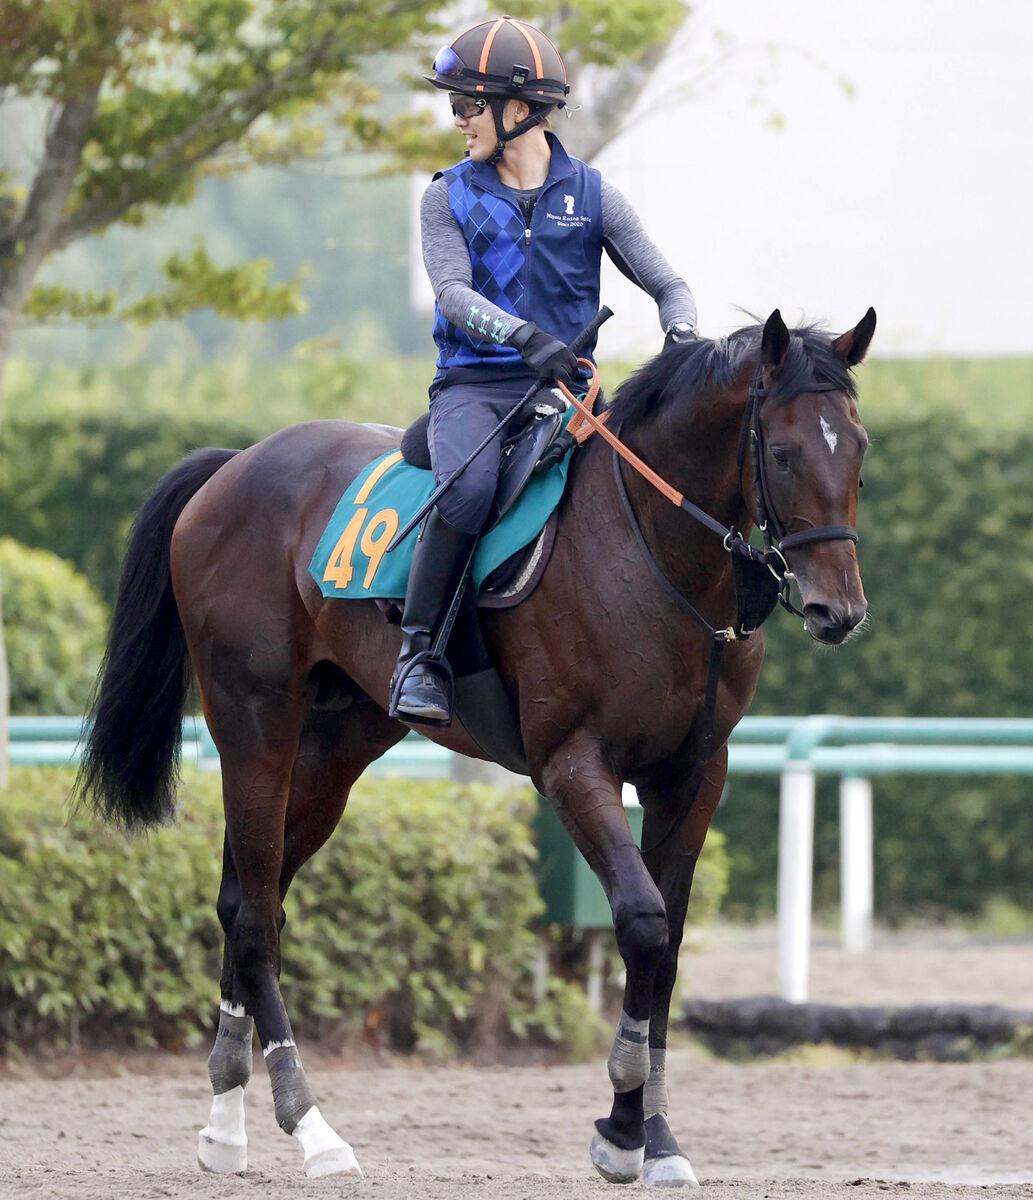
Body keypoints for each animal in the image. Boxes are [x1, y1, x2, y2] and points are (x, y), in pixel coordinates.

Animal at [77, 306, 874, 1185]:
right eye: (783, 451)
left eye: (859, 448)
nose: (837, 611)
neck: (652, 554)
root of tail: (234, 467)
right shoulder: (572, 765)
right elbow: (640, 922)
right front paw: (619, 1130)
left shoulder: (693, 776)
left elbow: (665, 950)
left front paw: (656, 1137)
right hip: (255, 726)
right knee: (254, 916)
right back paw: (309, 1125)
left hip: (333, 750)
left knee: (248, 899)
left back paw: (225, 1122)